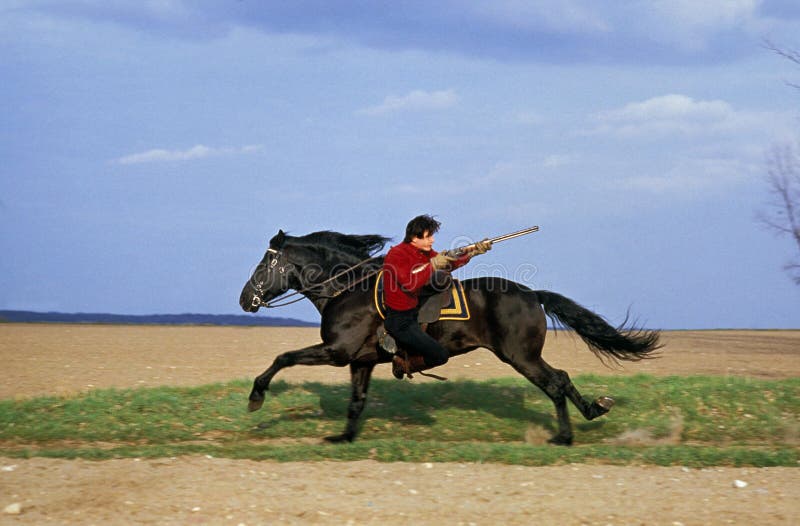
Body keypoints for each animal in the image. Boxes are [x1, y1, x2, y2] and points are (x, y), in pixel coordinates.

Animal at [239, 229, 661, 445]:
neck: (348, 289)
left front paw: (256, 398)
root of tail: (532, 294)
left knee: (555, 383)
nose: (245, 299)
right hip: (525, 356)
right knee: (563, 378)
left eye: (263, 263)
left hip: (520, 356)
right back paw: (593, 410)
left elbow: (282, 359)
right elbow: (356, 401)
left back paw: (564, 436)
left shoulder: (336, 351)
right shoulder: (360, 360)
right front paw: (342, 438)